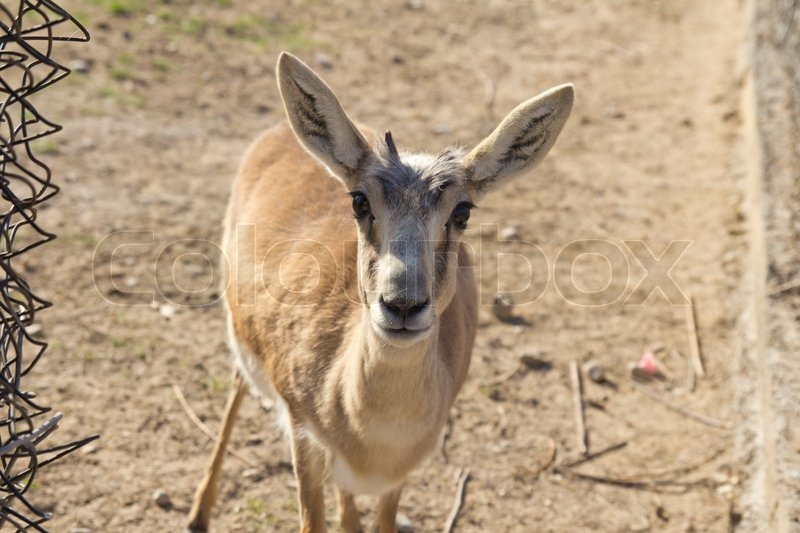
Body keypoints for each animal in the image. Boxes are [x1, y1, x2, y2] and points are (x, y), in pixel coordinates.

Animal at [187, 52, 573, 533]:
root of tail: (277, 131)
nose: (402, 304)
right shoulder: (302, 435)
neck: (373, 436)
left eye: (462, 211)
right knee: (237, 386)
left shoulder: (400, 473)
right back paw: (198, 513)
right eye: (359, 201)